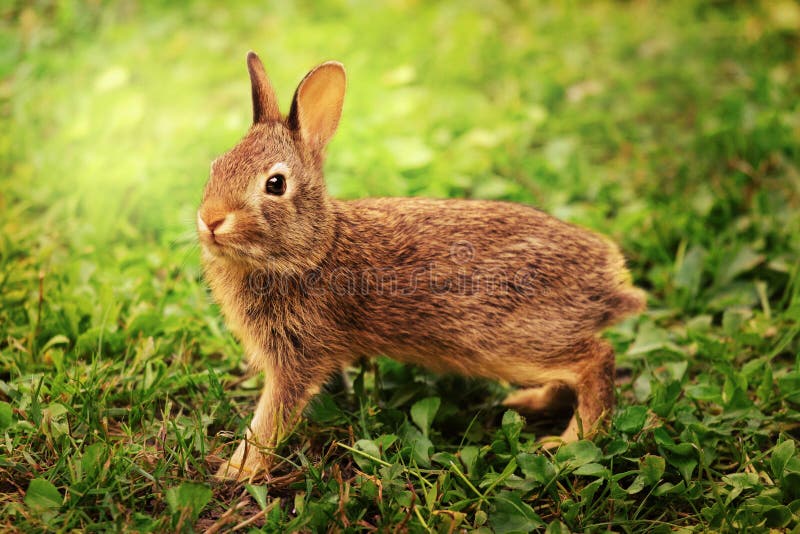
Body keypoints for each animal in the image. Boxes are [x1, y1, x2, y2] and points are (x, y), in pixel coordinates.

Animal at [197, 52, 646, 480]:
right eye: (215, 166)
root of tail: (610, 275)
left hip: (511, 340)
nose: (210, 220)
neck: (315, 250)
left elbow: (270, 418)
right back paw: (524, 402)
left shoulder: (298, 357)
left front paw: (236, 471)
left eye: (275, 184)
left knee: (596, 358)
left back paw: (571, 441)